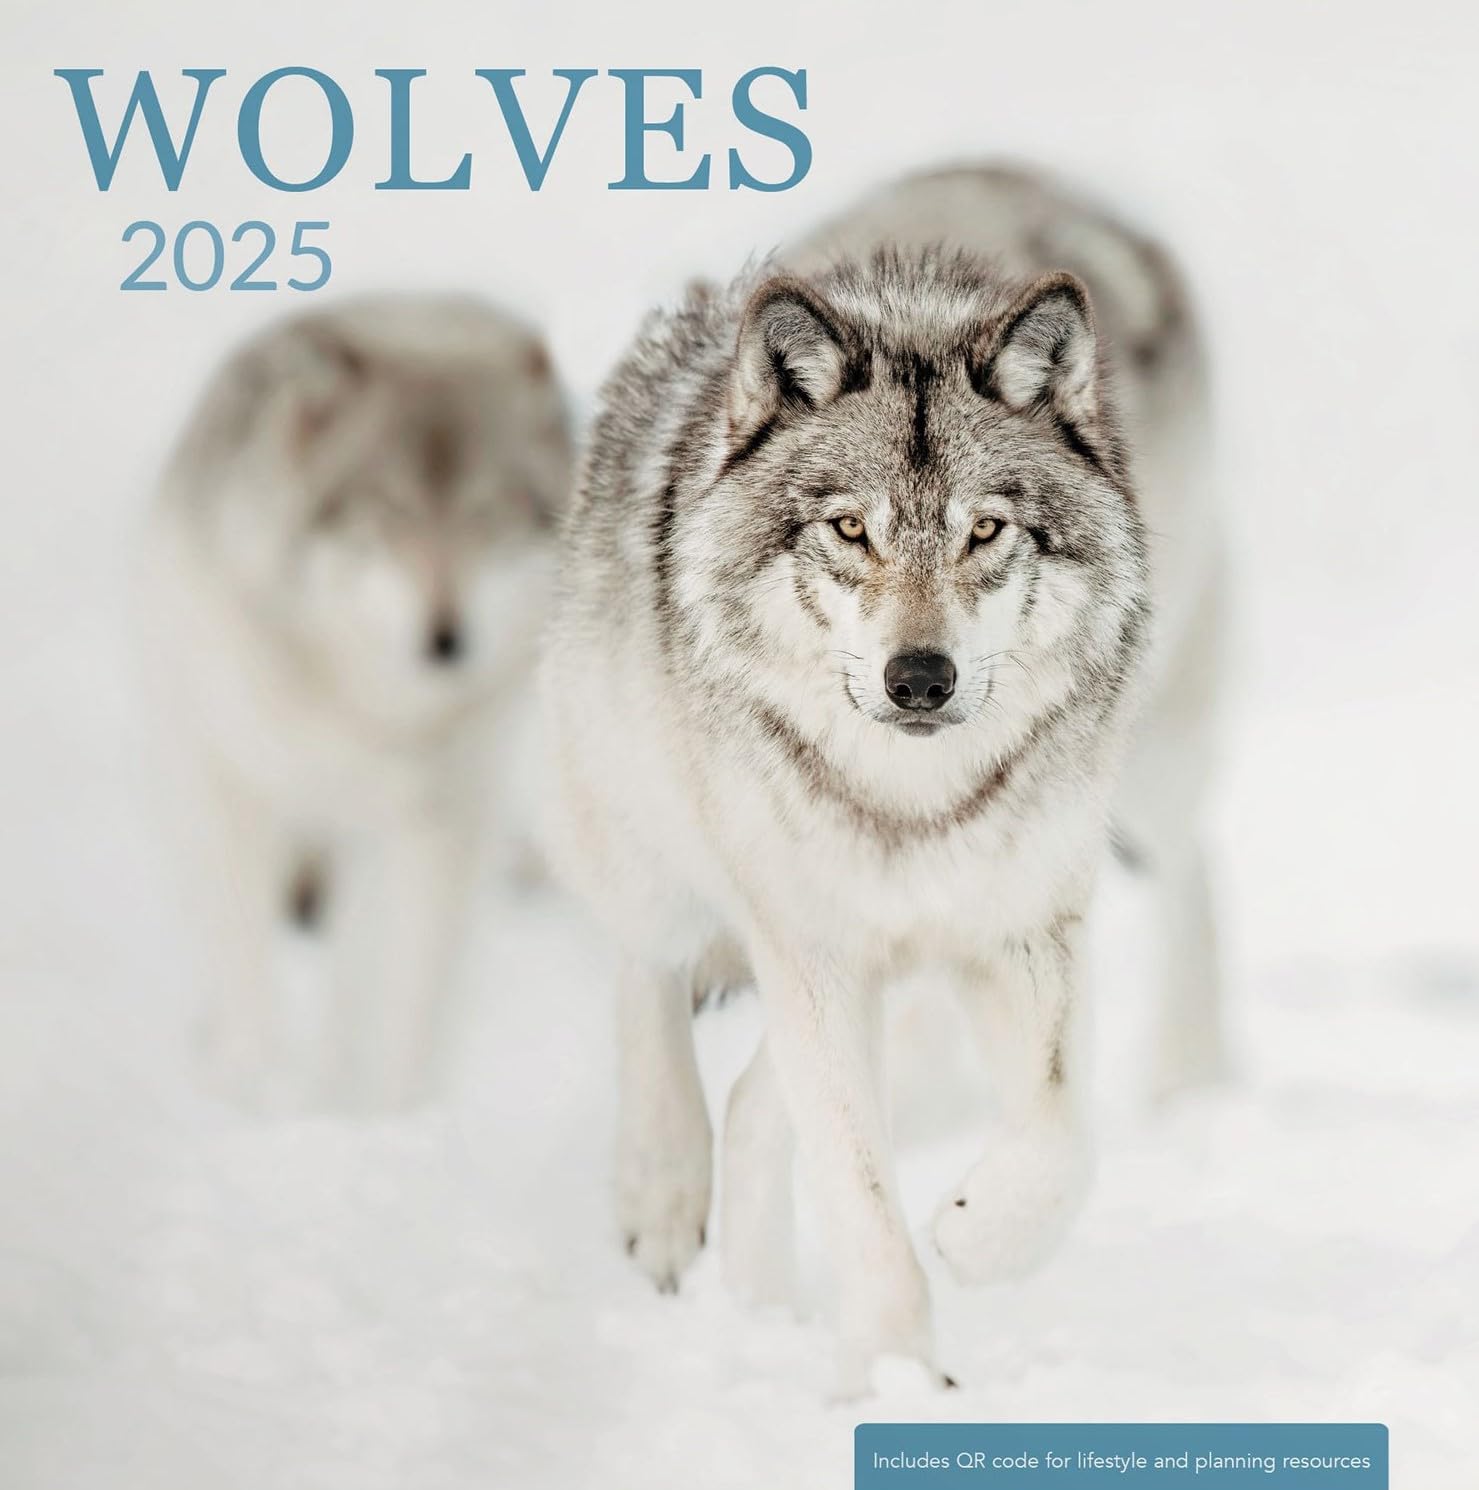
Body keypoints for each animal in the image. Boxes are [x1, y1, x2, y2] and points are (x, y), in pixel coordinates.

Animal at [144, 295, 572, 1111]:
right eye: (388, 509)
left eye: (489, 513)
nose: (447, 641)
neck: (360, 700)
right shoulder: (241, 793)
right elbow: (247, 967)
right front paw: (245, 1096)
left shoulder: (435, 826)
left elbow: (409, 998)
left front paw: (395, 1116)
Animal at [541, 186, 1157, 1386]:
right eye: (850, 528)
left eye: (984, 529)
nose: (919, 677)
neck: (915, 801)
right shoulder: (812, 952)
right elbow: (861, 1196)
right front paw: (894, 1374)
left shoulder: (1020, 930)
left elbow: (1064, 1133)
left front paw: (977, 1234)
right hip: (657, 847)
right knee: (648, 972)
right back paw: (662, 1190)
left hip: (890, 979)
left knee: (753, 1103)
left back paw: (757, 1301)